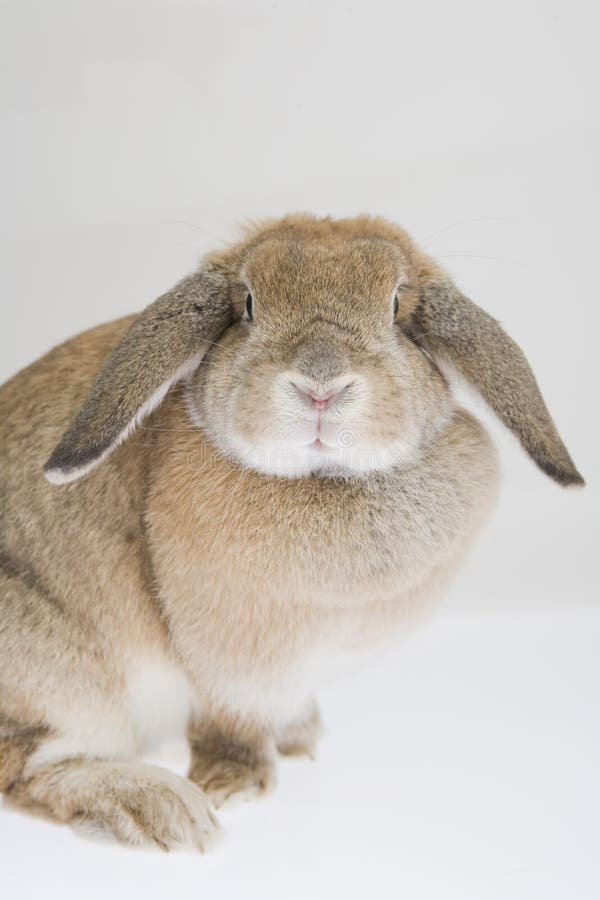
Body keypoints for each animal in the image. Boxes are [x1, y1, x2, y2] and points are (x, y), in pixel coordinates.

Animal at [0, 213, 583, 850]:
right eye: (249, 306)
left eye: (396, 305)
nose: (321, 386)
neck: (322, 477)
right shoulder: (233, 672)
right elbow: (230, 729)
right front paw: (233, 784)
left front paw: (304, 738)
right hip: (69, 686)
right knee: (32, 769)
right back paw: (159, 808)